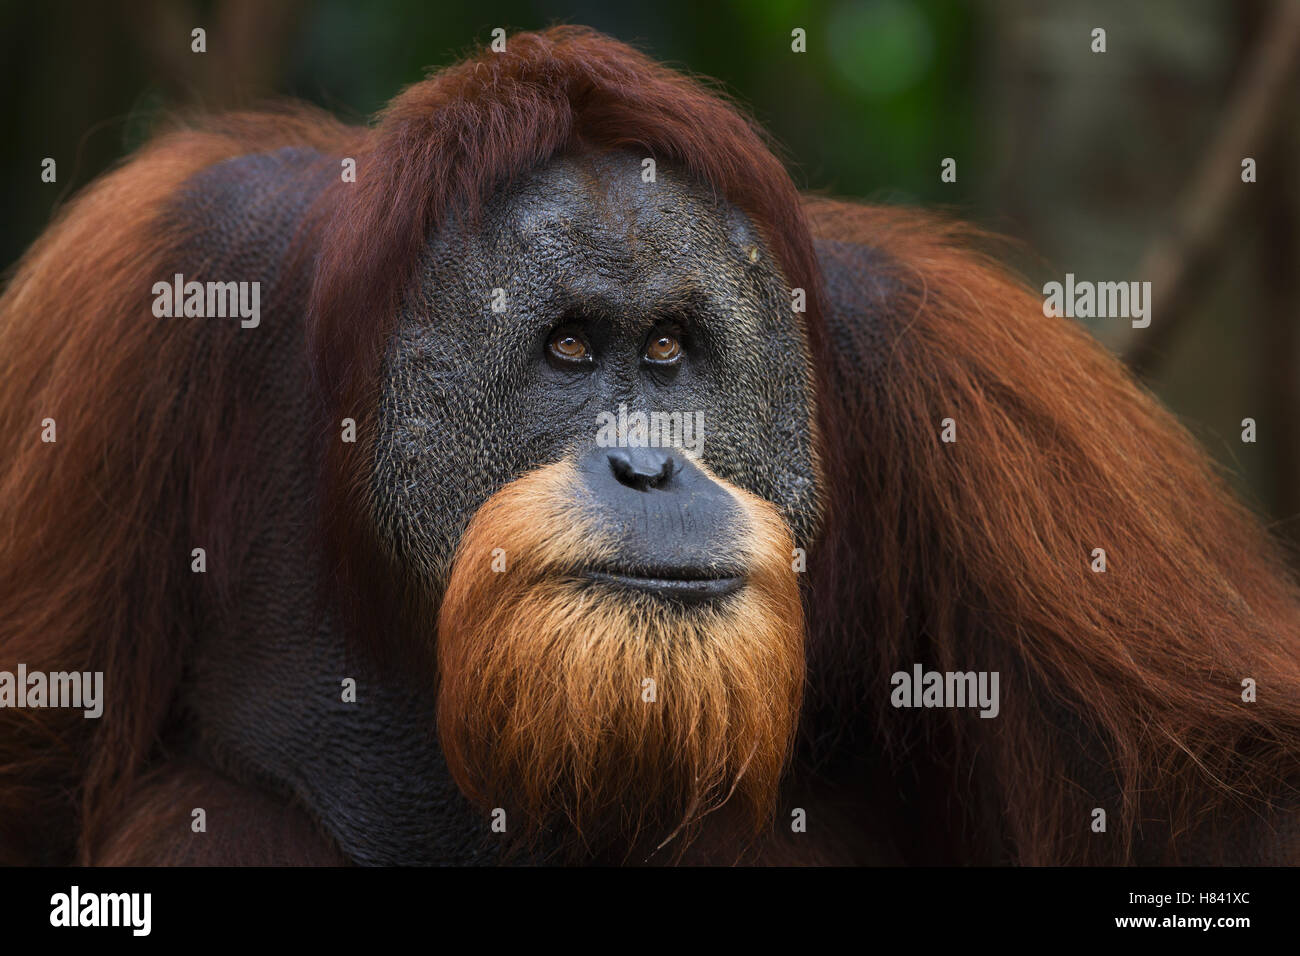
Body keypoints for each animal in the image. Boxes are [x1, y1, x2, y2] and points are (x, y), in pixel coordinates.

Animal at [1, 26, 1297, 866]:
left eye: (670, 349)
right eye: (571, 348)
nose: (648, 465)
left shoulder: (950, 367)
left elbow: (1218, 781)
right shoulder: (154, 278)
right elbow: (39, 749)